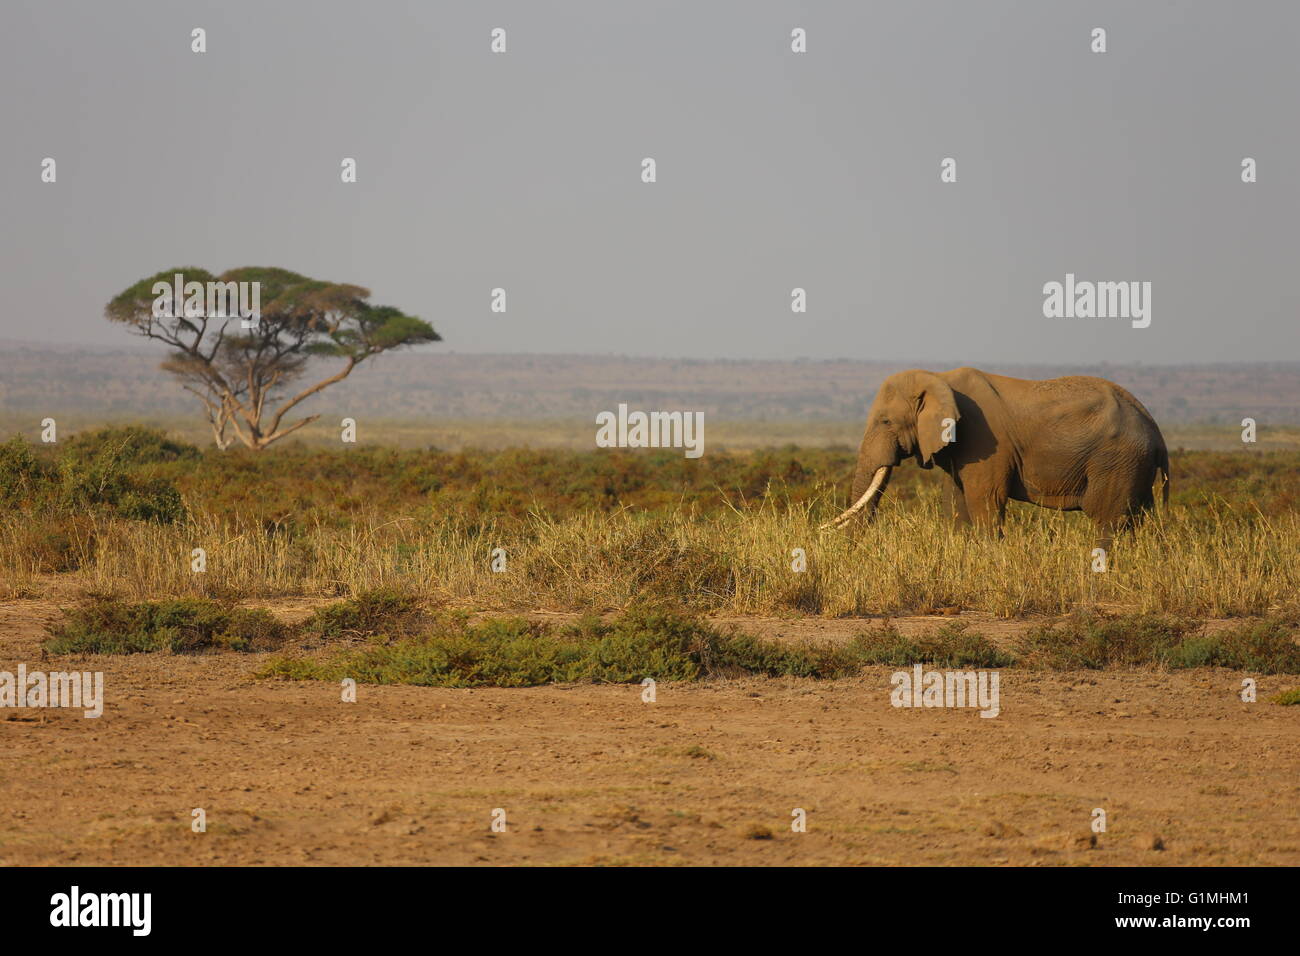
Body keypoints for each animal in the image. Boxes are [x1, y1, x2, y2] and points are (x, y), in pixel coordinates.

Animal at [820, 367, 1170, 550]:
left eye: (885, 422)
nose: (850, 551)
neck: (939, 377)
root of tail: (1156, 429)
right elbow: (956, 501)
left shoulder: (984, 440)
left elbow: (984, 499)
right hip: (1133, 465)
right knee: (1133, 519)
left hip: (1117, 460)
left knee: (1108, 520)